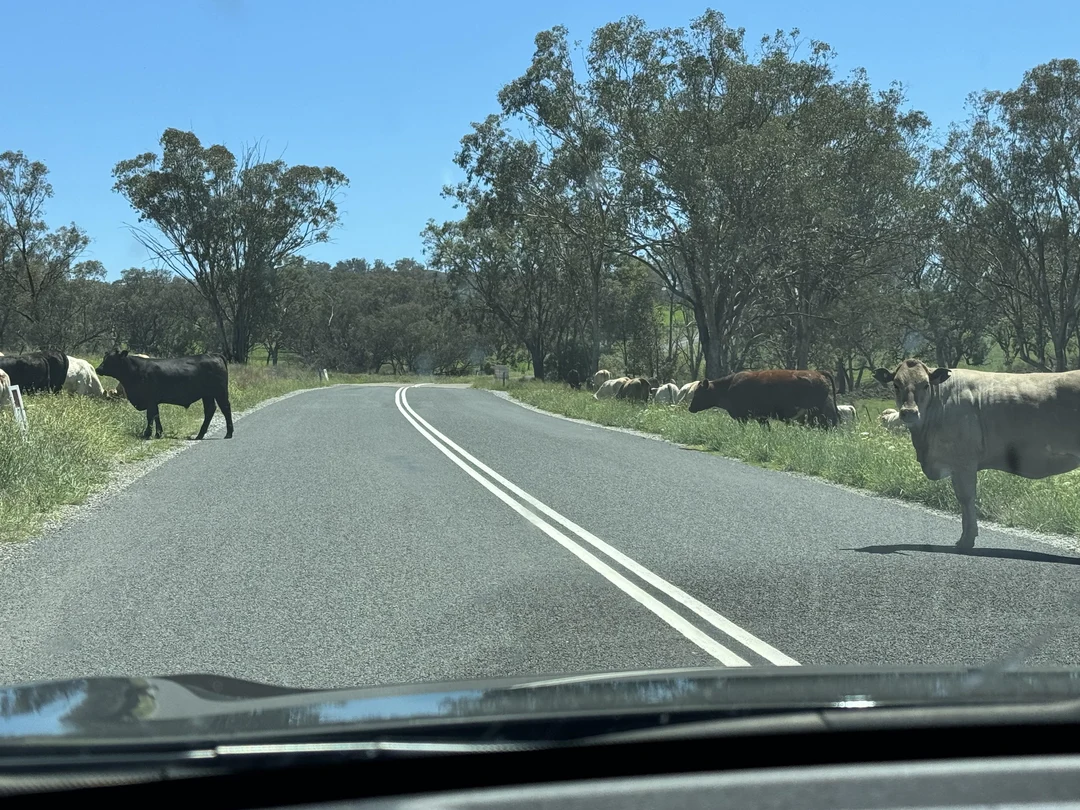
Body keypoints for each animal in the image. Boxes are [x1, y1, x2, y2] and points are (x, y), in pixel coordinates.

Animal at [96, 349, 234, 440]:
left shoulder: (150, 399)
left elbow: (150, 416)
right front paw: (158, 433)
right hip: (207, 395)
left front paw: (147, 434)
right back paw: (200, 435)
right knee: (210, 410)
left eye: (111, 360)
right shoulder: (153, 401)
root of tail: (213, 354)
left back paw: (229, 433)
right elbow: (156, 415)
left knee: (225, 408)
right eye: (104, 358)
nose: (98, 369)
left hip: (219, 391)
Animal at [688, 369, 839, 427]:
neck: (728, 386)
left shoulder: (743, 417)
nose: (690, 408)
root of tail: (819, 373)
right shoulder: (762, 418)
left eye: (698, 393)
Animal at [874, 358, 1080, 549]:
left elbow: (966, 498)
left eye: (925, 384)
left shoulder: (964, 462)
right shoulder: (955, 465)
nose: (909, 412)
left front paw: (966, 540)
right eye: (896, 384)